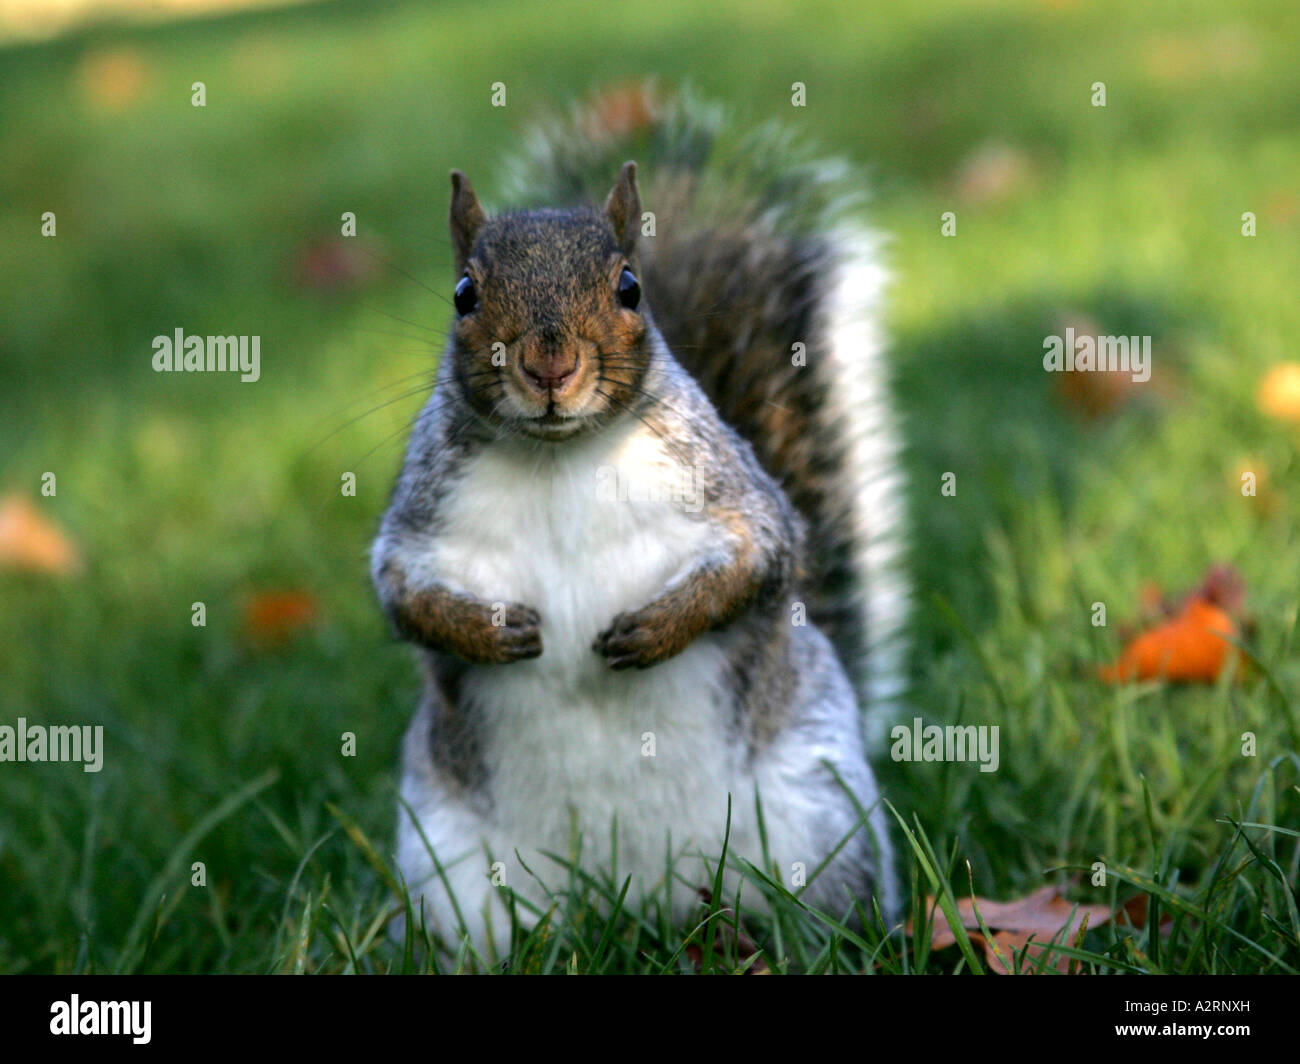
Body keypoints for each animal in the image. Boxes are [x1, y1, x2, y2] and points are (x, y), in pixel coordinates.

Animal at [371, 90, 908, 959]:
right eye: (463, 294)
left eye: (629, 287)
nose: (549, 366)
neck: (561, 459)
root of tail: (642, 900)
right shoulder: (420, 519)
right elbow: (400, 592)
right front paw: (493, 632)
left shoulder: (733, 492)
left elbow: (764, 554)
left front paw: (657, 629)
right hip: (451, 872)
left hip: (817, 821)